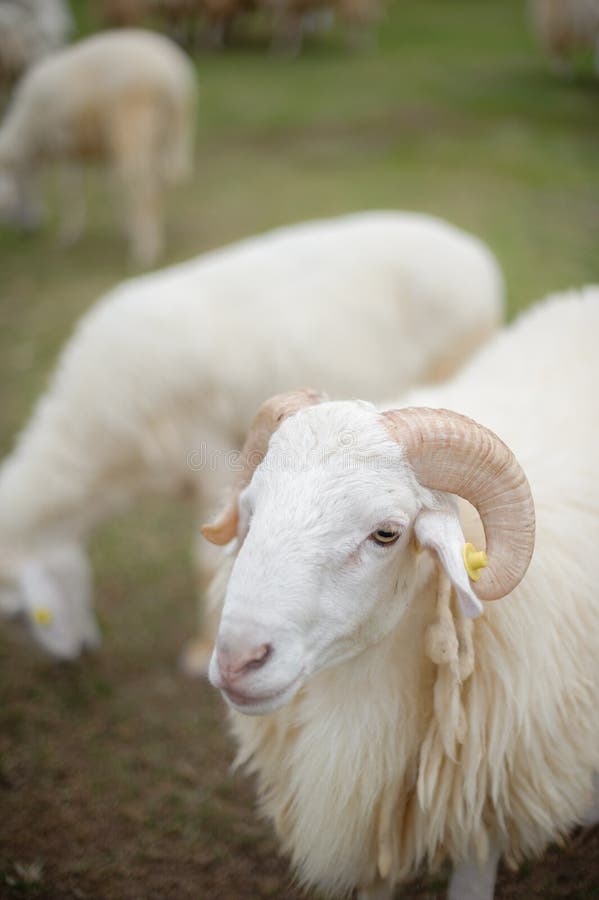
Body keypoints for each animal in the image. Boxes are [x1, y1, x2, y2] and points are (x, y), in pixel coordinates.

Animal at [0, 29, 197, 265]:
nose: (27, 232)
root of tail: (174, 77)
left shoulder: (65, 145)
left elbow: (70, 191)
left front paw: (69, 235)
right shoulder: (99, 150)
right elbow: (110, 187)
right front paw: (124, 226)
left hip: (134, 128)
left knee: (142, 183)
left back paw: (145, 250)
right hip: (167, 137)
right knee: (158, 183)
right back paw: (150, 234)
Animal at [0, 210, 504, 667]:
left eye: (28, 615)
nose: (74, 656)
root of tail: (473, 251)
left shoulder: (205, 454)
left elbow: (206, 561)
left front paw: (200, 650)